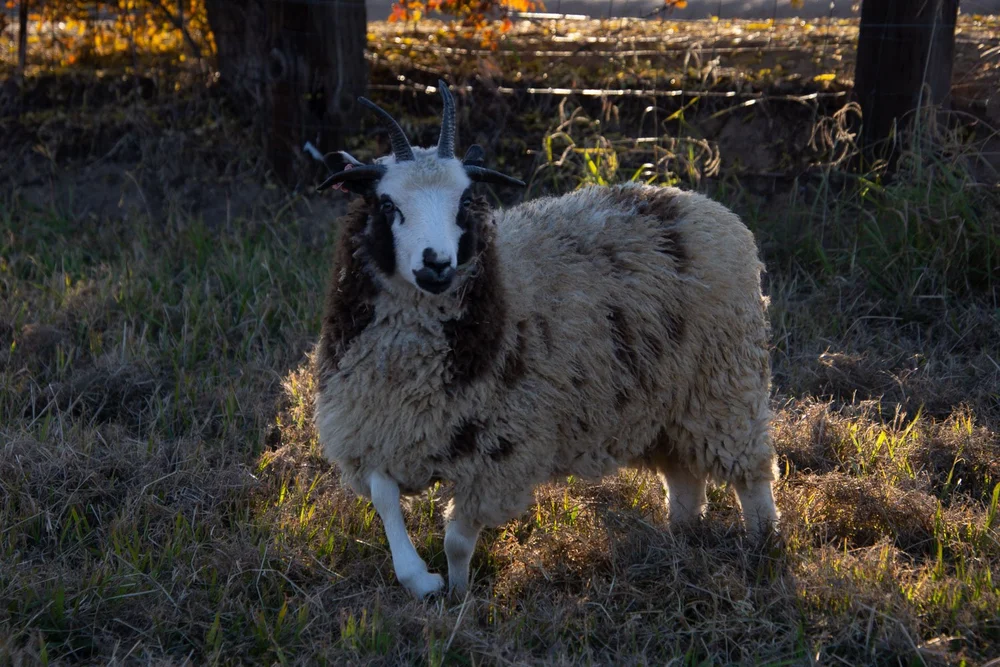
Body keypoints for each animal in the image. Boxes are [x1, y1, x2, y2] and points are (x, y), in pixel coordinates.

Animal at [314, 81, 780, 600]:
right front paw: (422, 580)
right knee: (683, 474)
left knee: (750, 471)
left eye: (465, 201)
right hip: (666, 401)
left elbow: (457, 541)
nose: (437, 264)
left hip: (724, 383)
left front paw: (459, 593)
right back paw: (680, 536)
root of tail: (693, 200)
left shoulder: (498, 456)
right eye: (387, 205)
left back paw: (762, 542)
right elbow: (384, 501)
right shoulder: (377, 433)